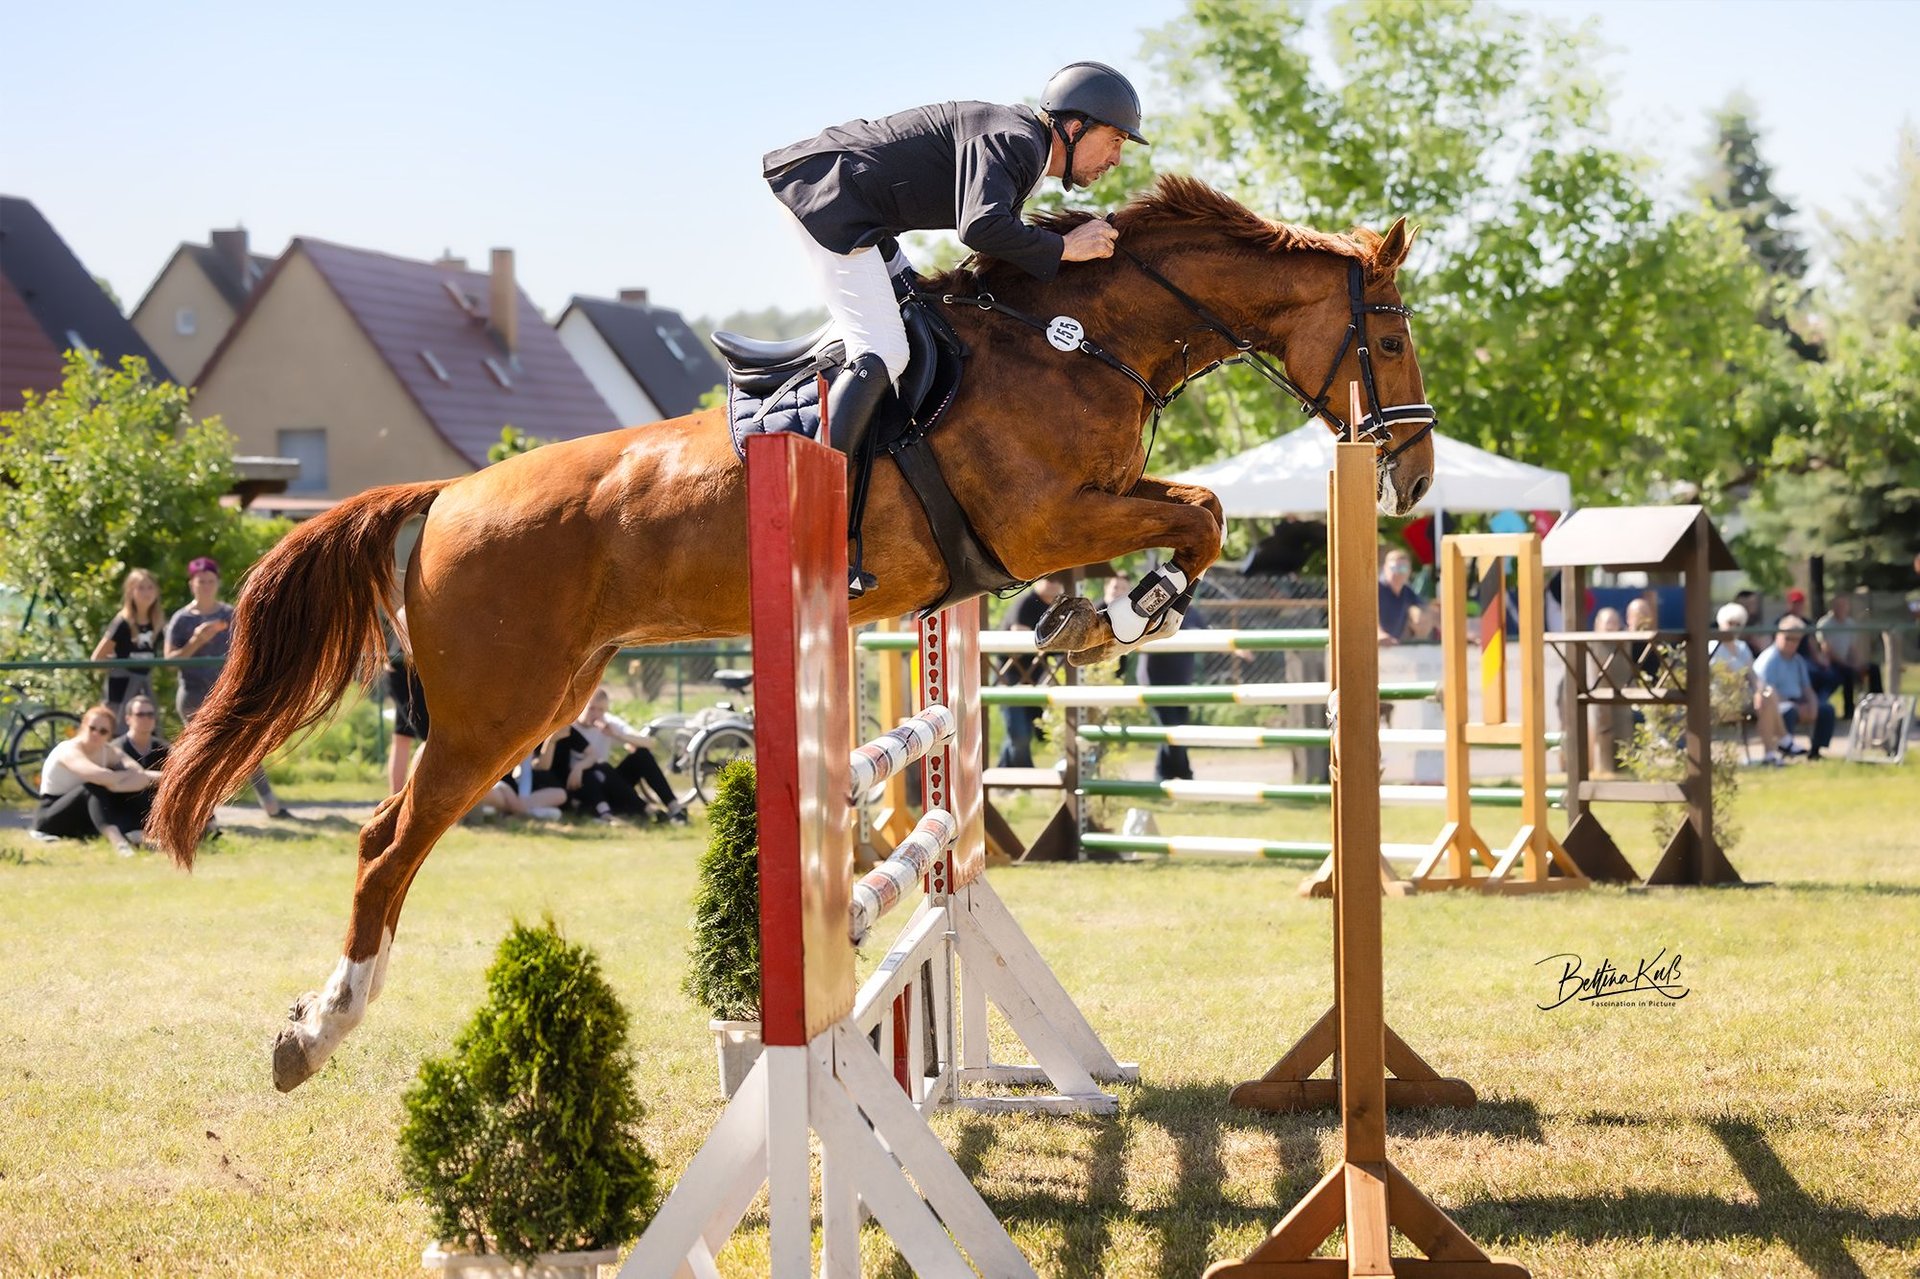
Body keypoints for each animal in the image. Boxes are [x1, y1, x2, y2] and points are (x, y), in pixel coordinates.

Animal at [149, 175, 1438, 1092]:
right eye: (1392, 336)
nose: (1417, 478)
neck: (1078, 331)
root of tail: (448, 493)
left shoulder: (1082, 508)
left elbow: (1196, 512)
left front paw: (1098, 617)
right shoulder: (1047, 518)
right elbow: (1204, 513)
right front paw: (1118, 615)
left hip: (556, 693)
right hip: (493, 712)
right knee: (383, 845)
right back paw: (317, 1029)